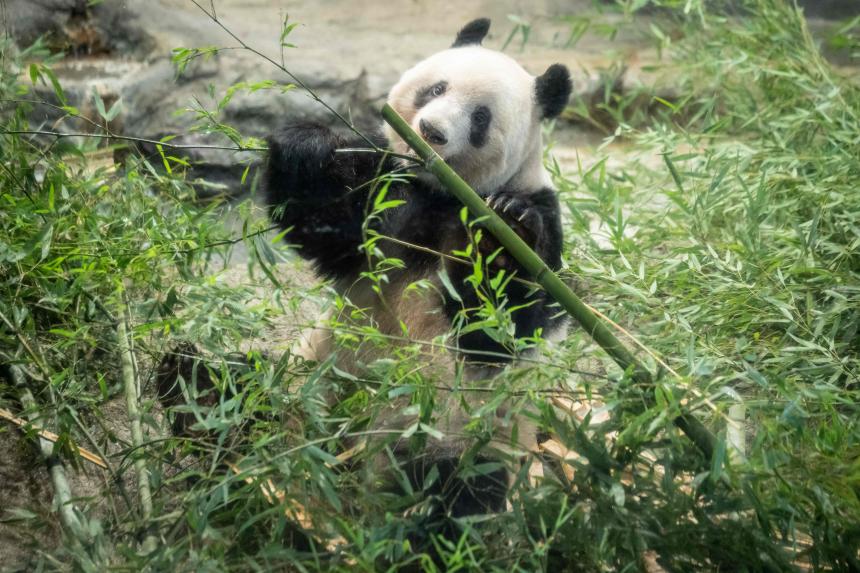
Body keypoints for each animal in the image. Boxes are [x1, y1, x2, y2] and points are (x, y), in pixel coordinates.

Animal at [263, 18, 571, 516]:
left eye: (481, 119)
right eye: (437, 88)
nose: (431, 130)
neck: (440, 190)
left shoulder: (539, 214)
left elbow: (499, 327)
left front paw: (506, 229)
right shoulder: (386, 192)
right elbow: (324, 220)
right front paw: (307, 145)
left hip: (454, 433)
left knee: (457, 487)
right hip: (306, 380)